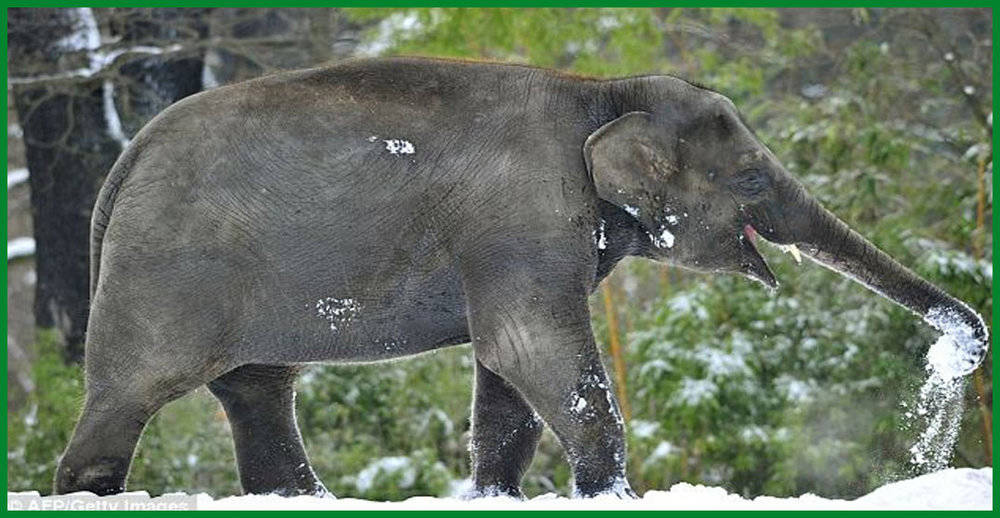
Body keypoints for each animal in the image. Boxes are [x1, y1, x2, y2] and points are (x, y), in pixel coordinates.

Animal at [55, 57, 988, 499]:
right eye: (754, 181)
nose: (966, 351)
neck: (601, 93)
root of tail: (124, 161)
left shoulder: (514, 238)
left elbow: (507, 377)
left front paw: (495, 492)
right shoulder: (524, 219)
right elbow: (530, 350)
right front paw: (610, 493)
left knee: (258, 390)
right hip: (164, 273)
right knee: (133, 392)